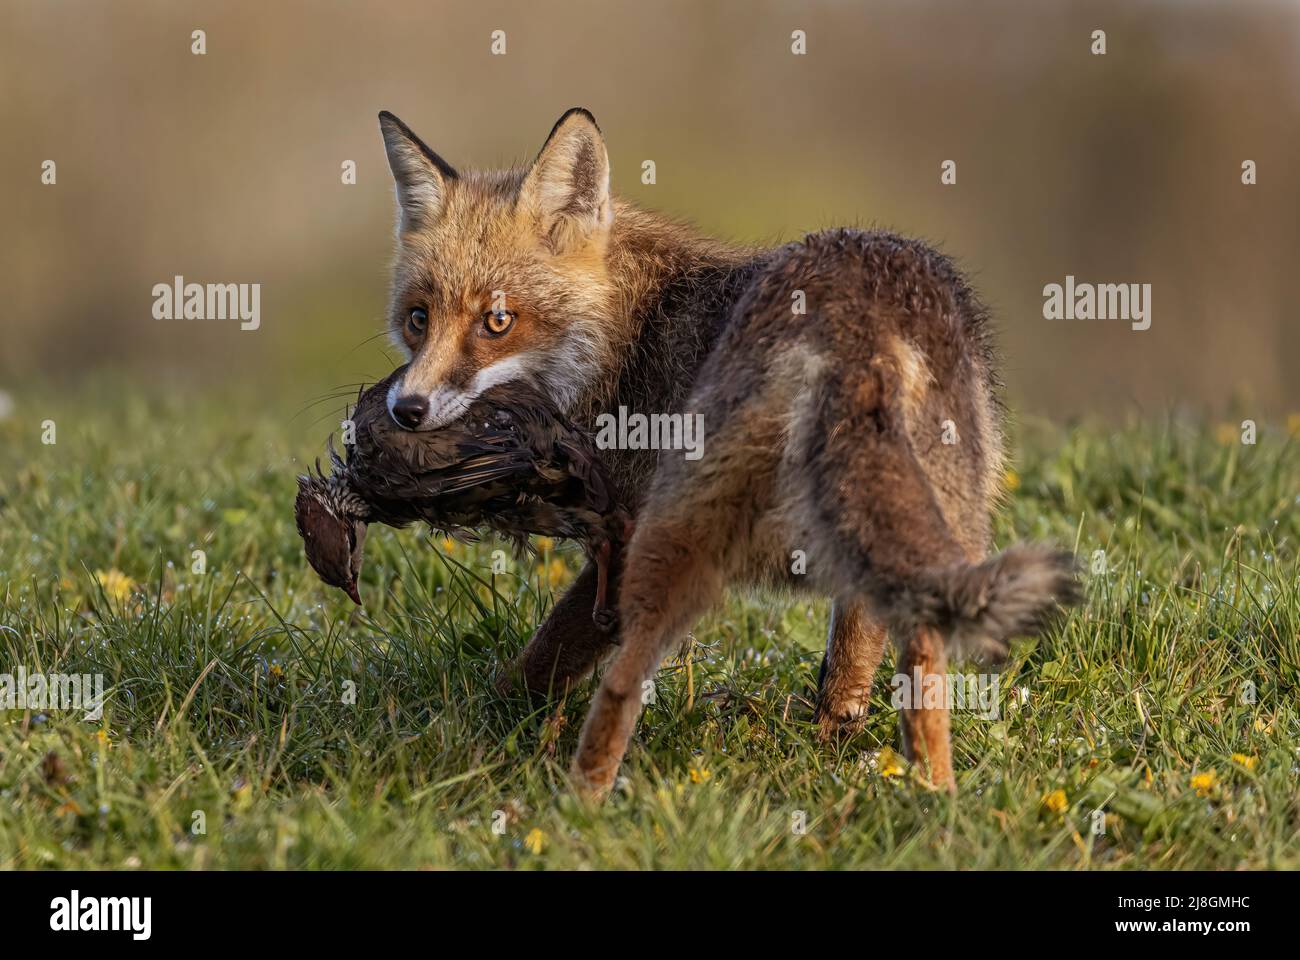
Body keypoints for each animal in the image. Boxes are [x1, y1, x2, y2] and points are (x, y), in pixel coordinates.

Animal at [375, 106, 1078, 800]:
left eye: (498, 321)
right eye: (418, 318)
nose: (405, 410)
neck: (627, 337)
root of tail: (858, 328)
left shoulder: (620, 539)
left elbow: (543, 658)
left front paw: (478, 726)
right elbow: (851, 668)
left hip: (677, 543)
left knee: (622, 687)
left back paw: (575, 807)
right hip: (940, 529)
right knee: (917, 665)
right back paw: (931, 799)